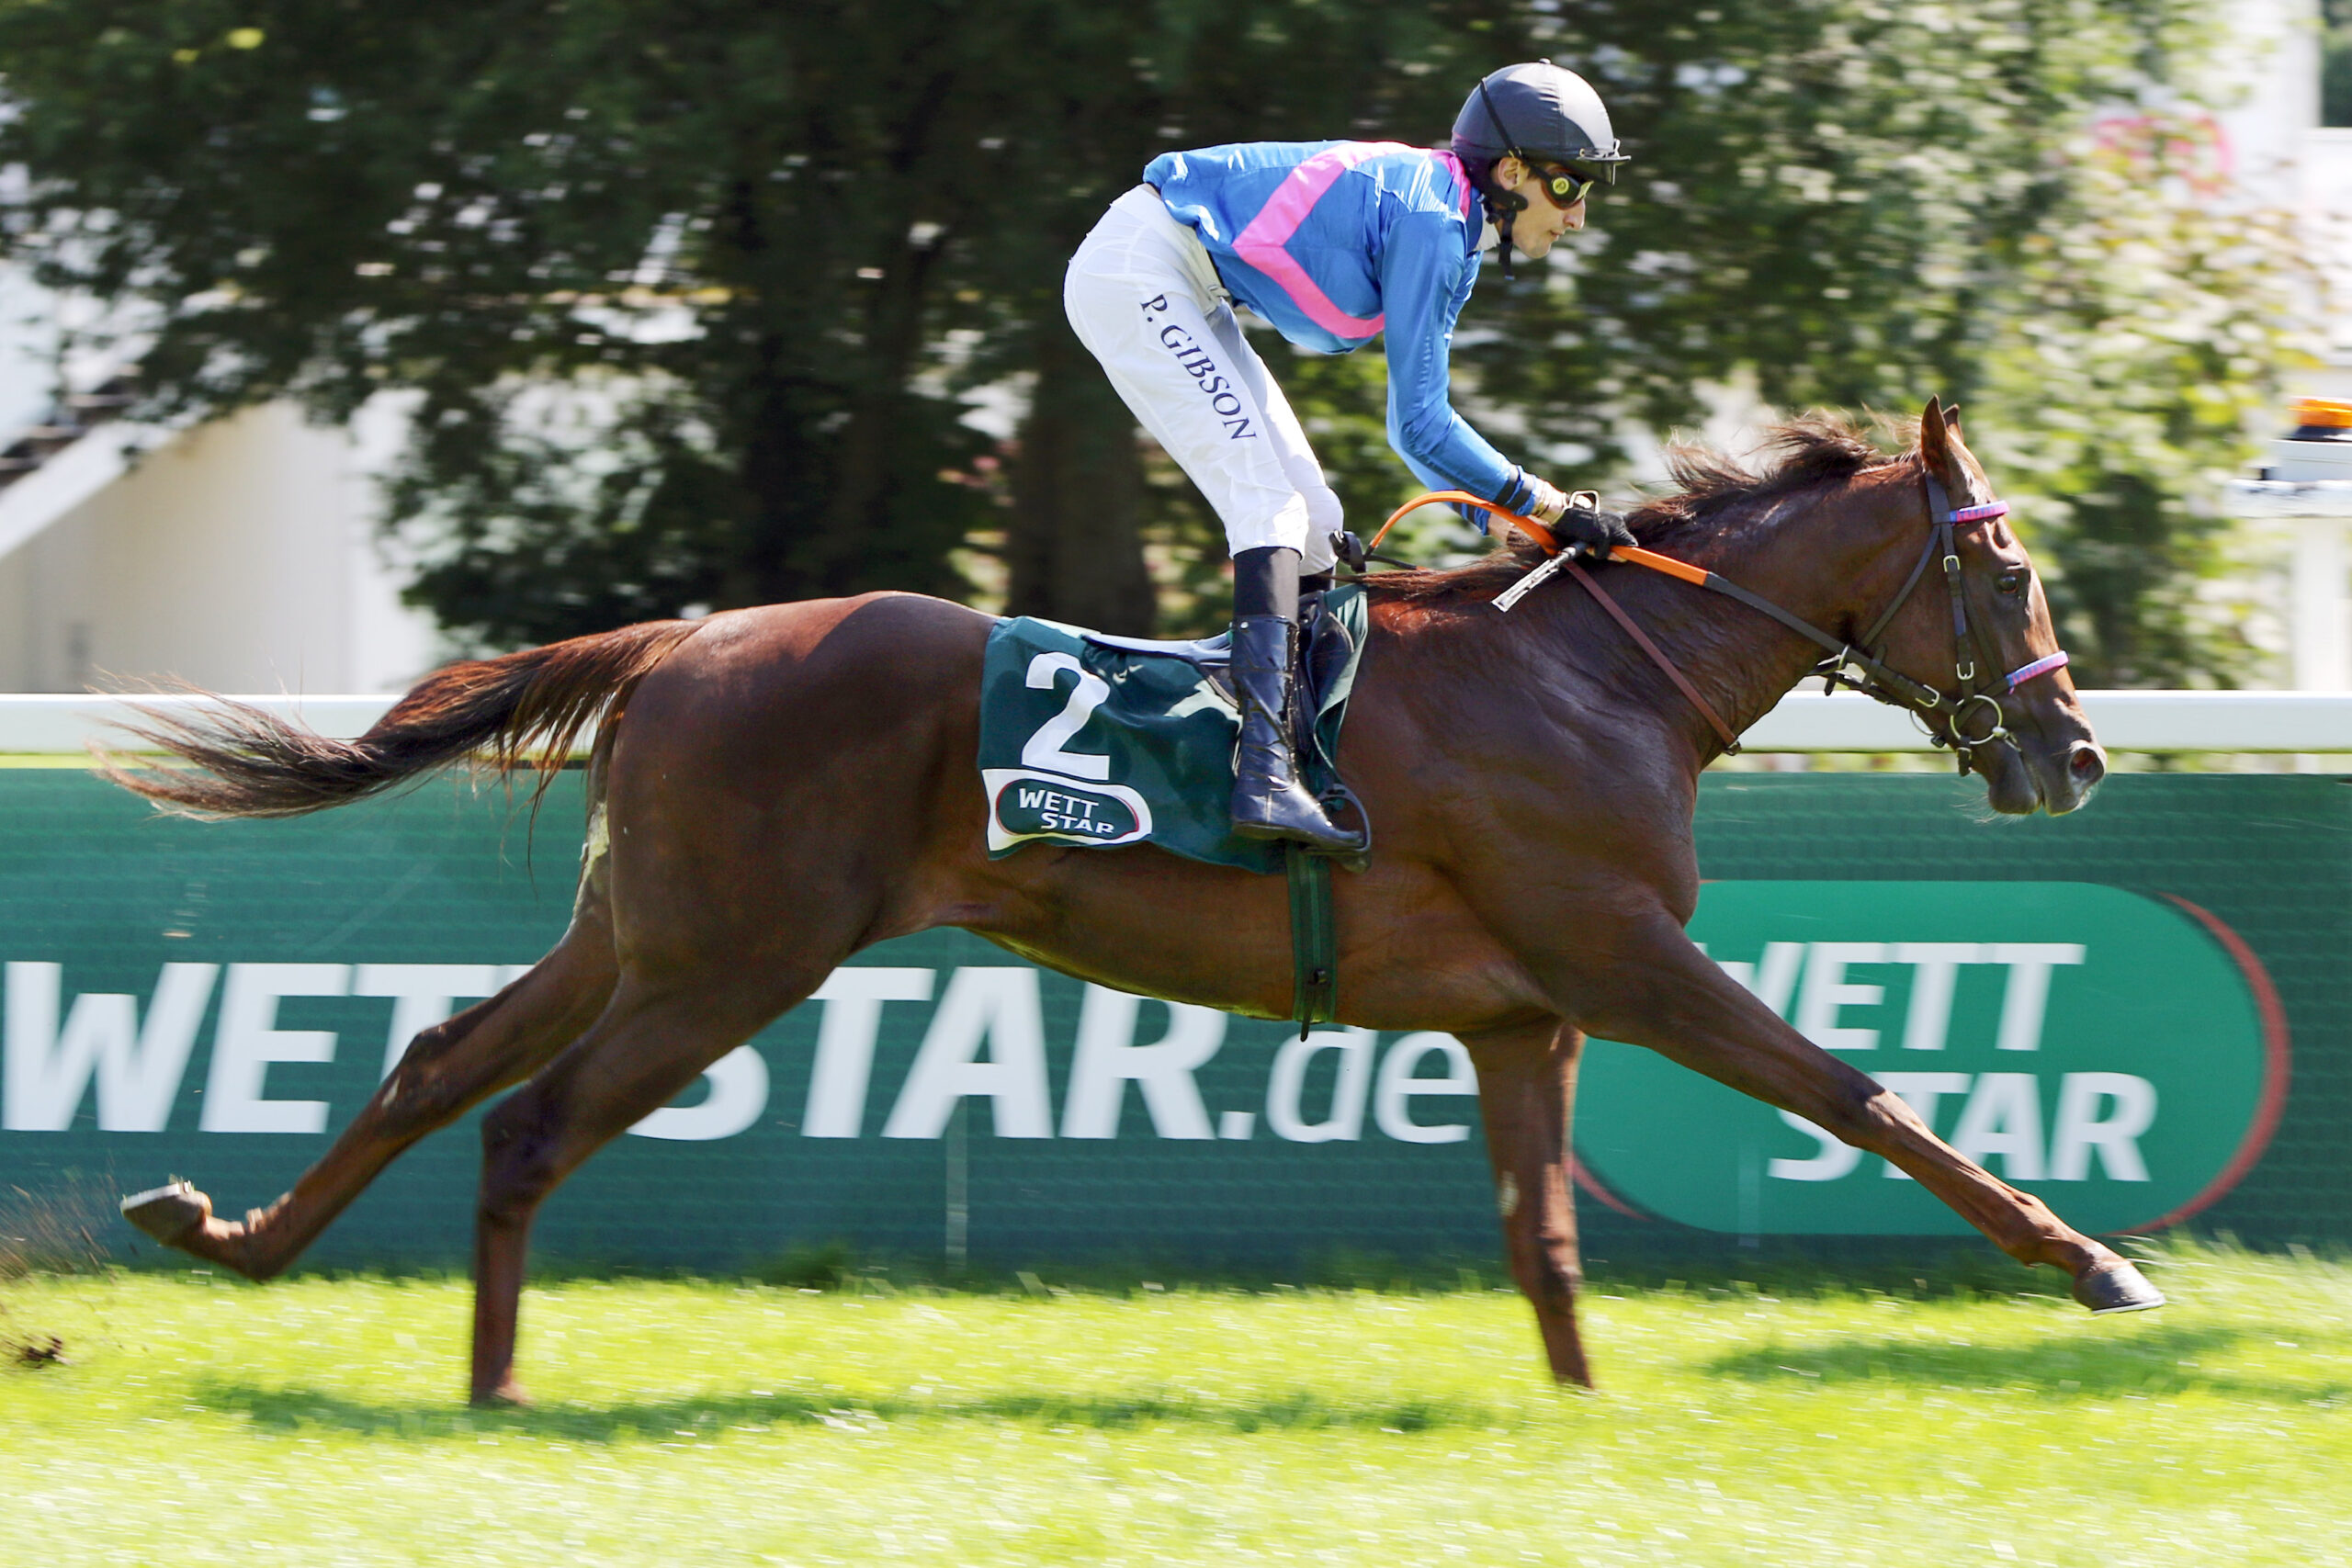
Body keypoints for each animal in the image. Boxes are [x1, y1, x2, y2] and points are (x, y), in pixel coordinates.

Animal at [110, 400, 2158, 1406]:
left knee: (438, 1059)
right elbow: (1854, 1092)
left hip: (647, 930)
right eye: (2007, 572)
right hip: (733, 958)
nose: (2071, 754)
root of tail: (681, 642)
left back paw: (236, 1234)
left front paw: (1583, 1413)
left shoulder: (1521, 1008)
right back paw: (494, 1389)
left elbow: (1543, 1236)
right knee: (530, 1122)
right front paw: (2093, 1262)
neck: (1600, 677)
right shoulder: (1621, 953)